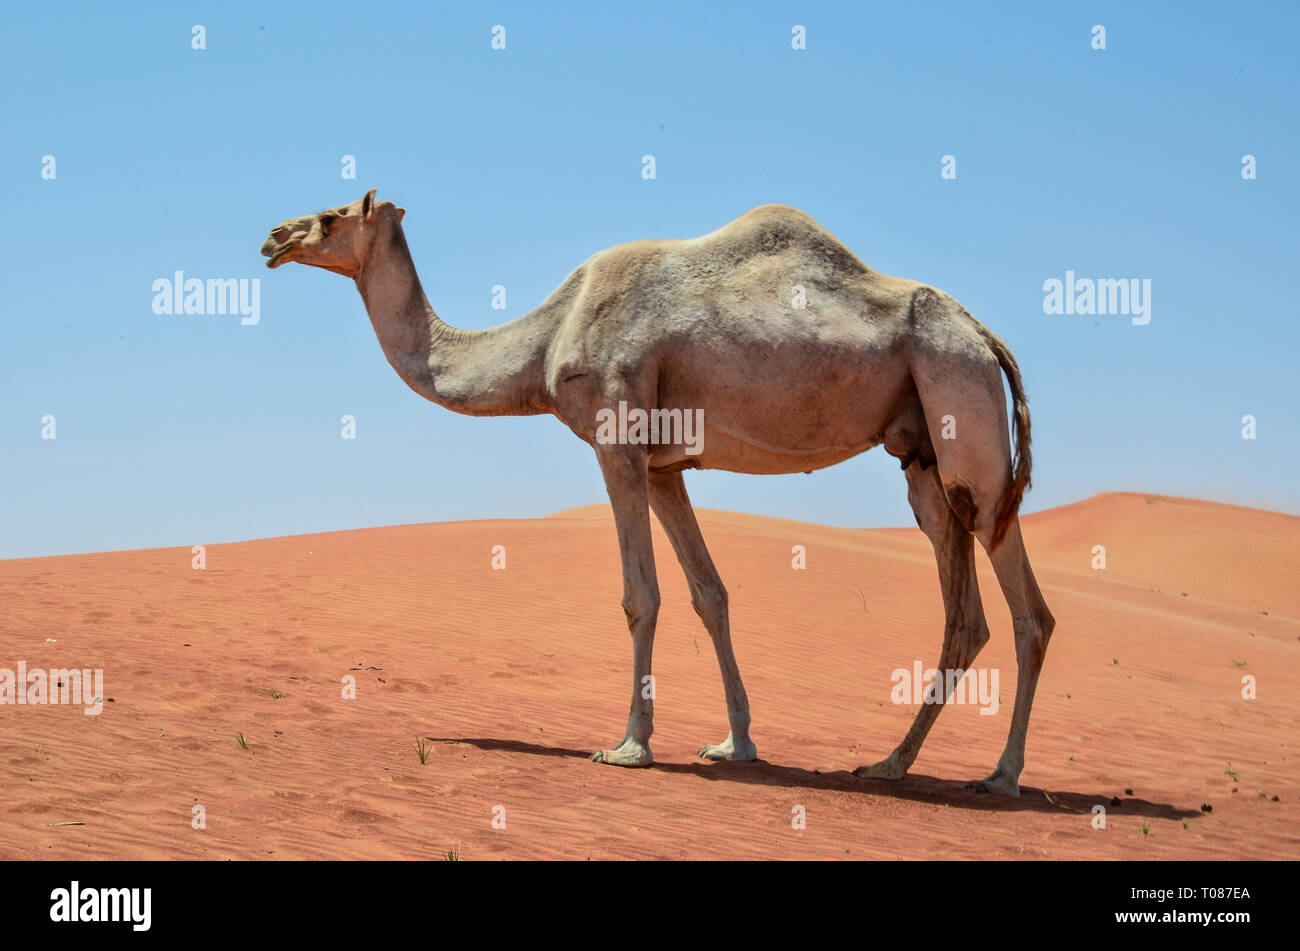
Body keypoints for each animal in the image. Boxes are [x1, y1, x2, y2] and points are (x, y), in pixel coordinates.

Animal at [260, 189, 1056, 796]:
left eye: (331, 215)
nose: (273, 236)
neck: (546, 340)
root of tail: (986, 335)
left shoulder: (616, 439)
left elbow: (640, 594)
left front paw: (628, 747)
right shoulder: (666, 466)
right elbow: (711, 593)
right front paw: (735, 744)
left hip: (963, 412)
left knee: (1029, 612)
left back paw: (1002, 775)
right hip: (923, 452)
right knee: (966, 611)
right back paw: (890, 762)